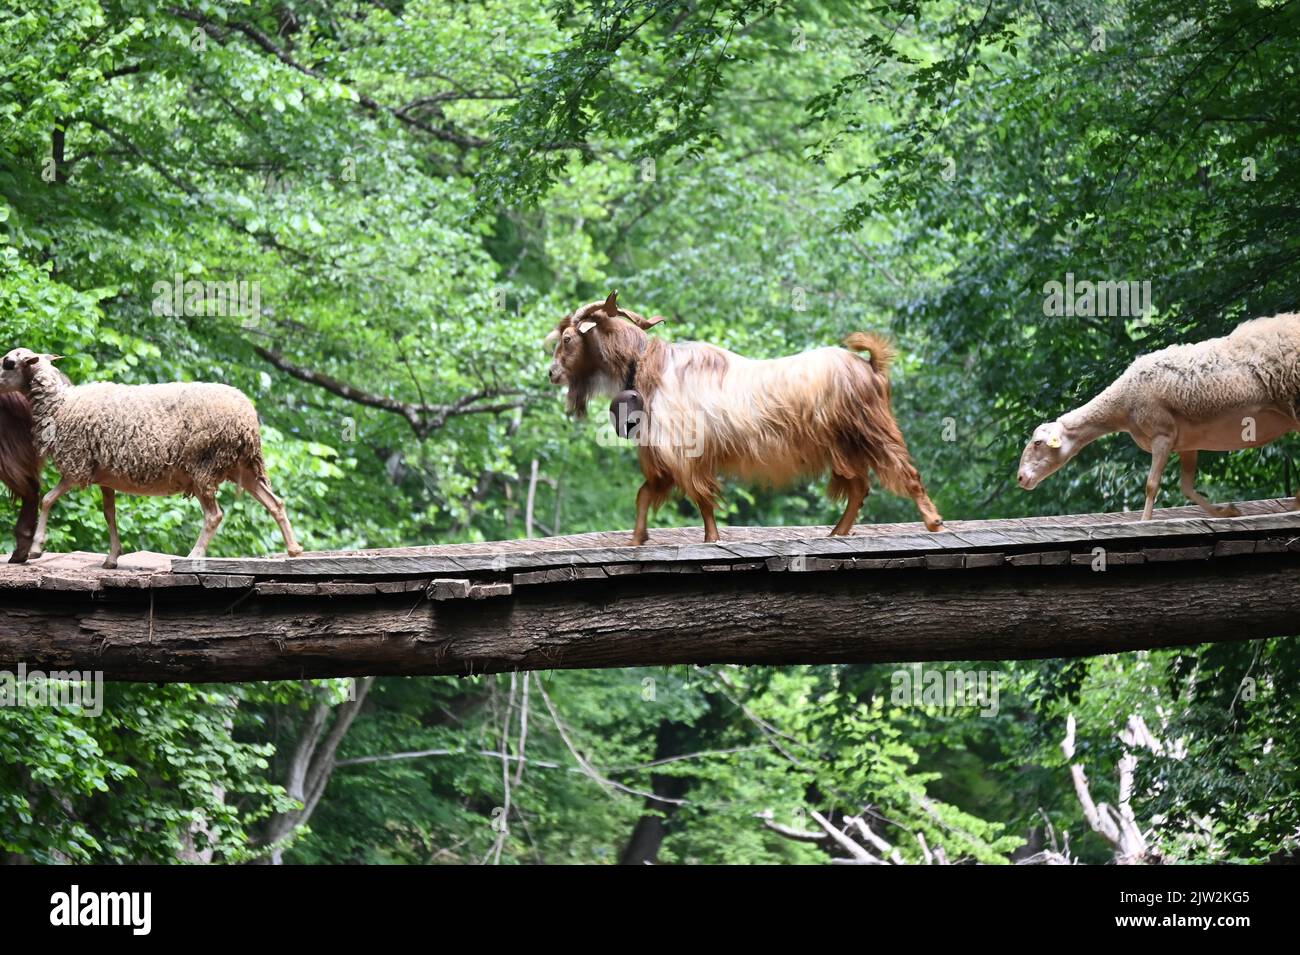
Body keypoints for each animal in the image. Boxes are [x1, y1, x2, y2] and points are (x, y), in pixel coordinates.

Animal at [0, 348, 304, 568]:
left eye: (8, 363)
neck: (60, 405)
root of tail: (248, 417)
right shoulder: (105, 478)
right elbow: (109, 514)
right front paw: (112, 558)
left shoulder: (77, 468)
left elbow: (48, 499)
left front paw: (37, 548)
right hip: (240, 466)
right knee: (275, 503)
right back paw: (294, 550)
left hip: (204, 464)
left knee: (215, 515)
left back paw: (194, 556)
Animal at [545, 291, 944, 545]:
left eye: (567, 339)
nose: (551, 373)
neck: (649, 366)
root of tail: (870, 367)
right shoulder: (665, 460)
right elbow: (645, 494)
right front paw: (637, 540)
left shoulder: (683, 453)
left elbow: (701, 499)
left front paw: (711, 539)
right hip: (843, 446)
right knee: (859, 486)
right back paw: (836, 533)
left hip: (870, 431)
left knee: (904, 472)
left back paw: (933, 522)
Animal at [1018, 311, 1300, 519]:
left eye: (1038, 443)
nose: (1020, 478)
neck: (1122, 405)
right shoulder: (1187, 444)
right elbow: (1187, 487)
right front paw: (1226, 512)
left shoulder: (1162, 434)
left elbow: (1151, 485)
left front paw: (1143, 523)